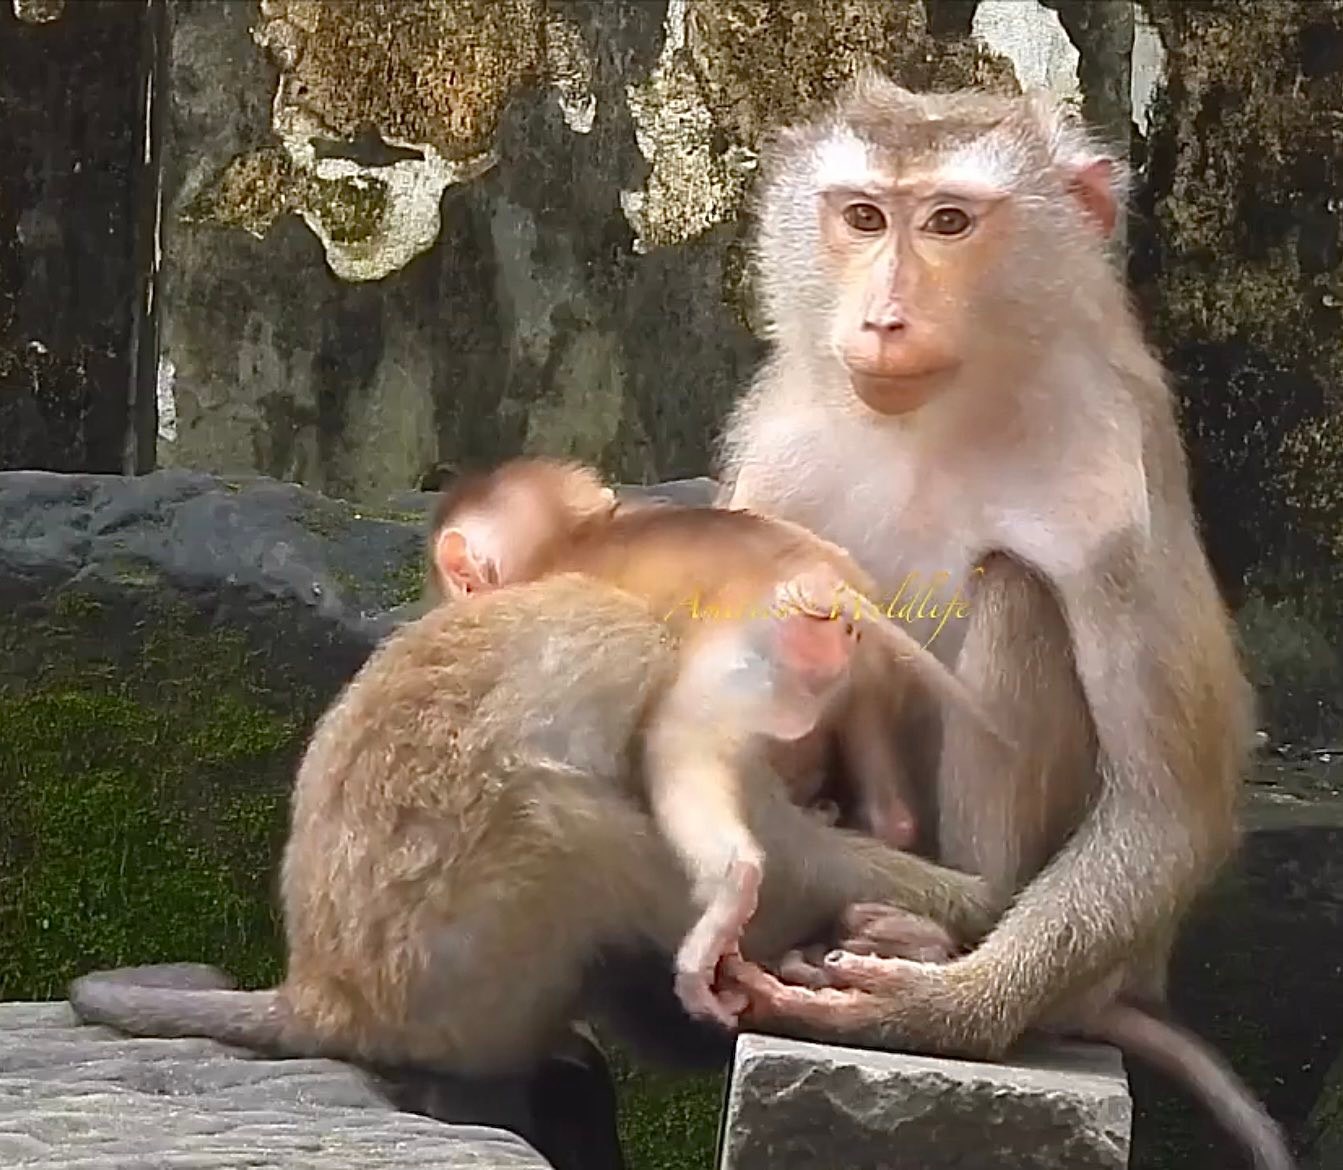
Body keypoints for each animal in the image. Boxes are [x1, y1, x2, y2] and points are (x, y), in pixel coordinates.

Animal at [68, 572, 999, 1084]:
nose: (830, 772)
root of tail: (323, 992)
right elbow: (699, 795)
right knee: (565, 825)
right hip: (464, 954)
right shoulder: (720, 690)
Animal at [710, 74, 1291, 1169]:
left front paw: (939, 1014)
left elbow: (1168, 808)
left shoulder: (1108, 484)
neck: (936, 417)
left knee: (1013, 591)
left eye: (948, 222)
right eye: (863, 217)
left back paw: (940, 928)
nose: (884, 319)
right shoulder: (771, 456)